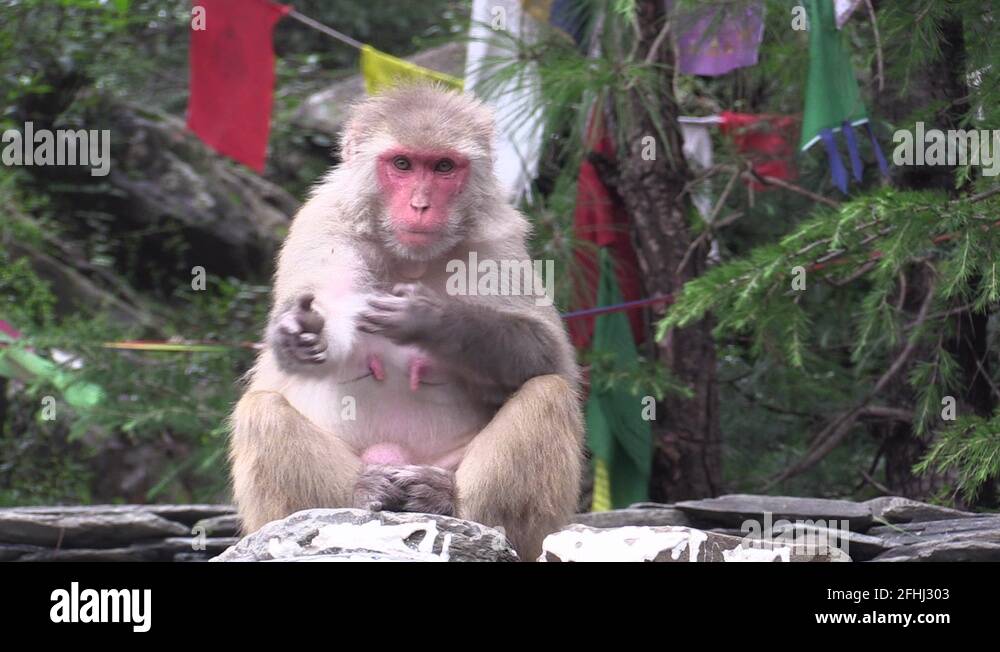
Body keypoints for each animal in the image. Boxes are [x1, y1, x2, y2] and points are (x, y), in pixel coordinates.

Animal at [229, 83, 584, 560]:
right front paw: (299, 333)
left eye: (443, 167)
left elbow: (547, 353)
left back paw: (444, 499)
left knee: (549, 393)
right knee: (261, 410)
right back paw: (364, 490)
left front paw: (432, 321)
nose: (421, 205)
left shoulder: (499, 240)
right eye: (402, 164)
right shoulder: (322, 226)